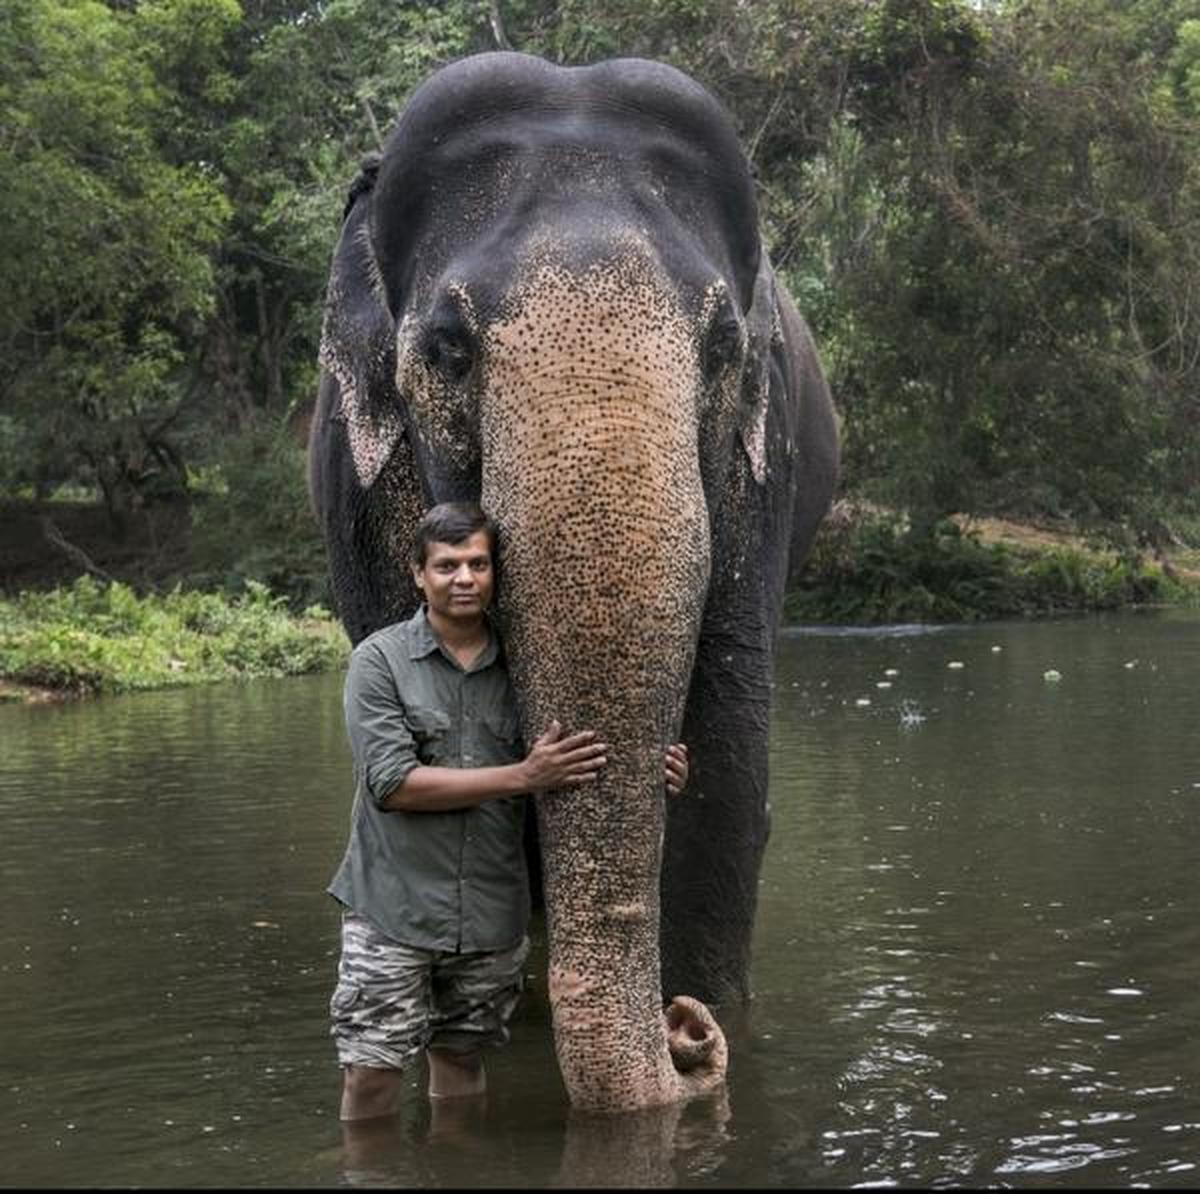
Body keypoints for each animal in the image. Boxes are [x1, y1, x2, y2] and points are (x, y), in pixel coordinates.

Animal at [308, 51, 838, 1112]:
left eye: (724, 347)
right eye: (447, 347)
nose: (686, 1037)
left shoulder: (762, 474)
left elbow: (727, 774)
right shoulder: (365, 493)